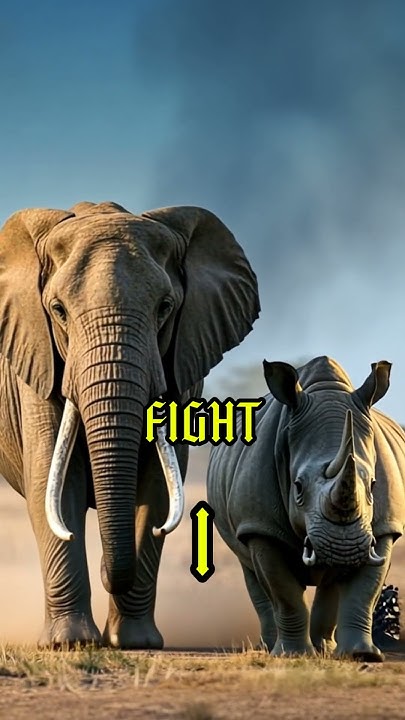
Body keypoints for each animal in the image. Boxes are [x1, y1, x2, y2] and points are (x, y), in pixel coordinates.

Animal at [0, 200, 259, 648]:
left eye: (165, 308)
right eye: (58, 311)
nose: (109, 571)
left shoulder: (181, 366)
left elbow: (157, 488)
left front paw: (135, 642)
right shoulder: (38, 365)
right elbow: (54, 484)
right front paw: (70, 643)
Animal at [207, 356, 405, 661]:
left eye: (373, 485)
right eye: (297, 487)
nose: (344, 548)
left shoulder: (383, 527)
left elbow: (365, 589)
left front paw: (361, 656)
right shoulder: (261, 526)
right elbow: (284, 592)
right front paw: (292, 655)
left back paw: (325, 648)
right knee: (251, 571)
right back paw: (269, 648)